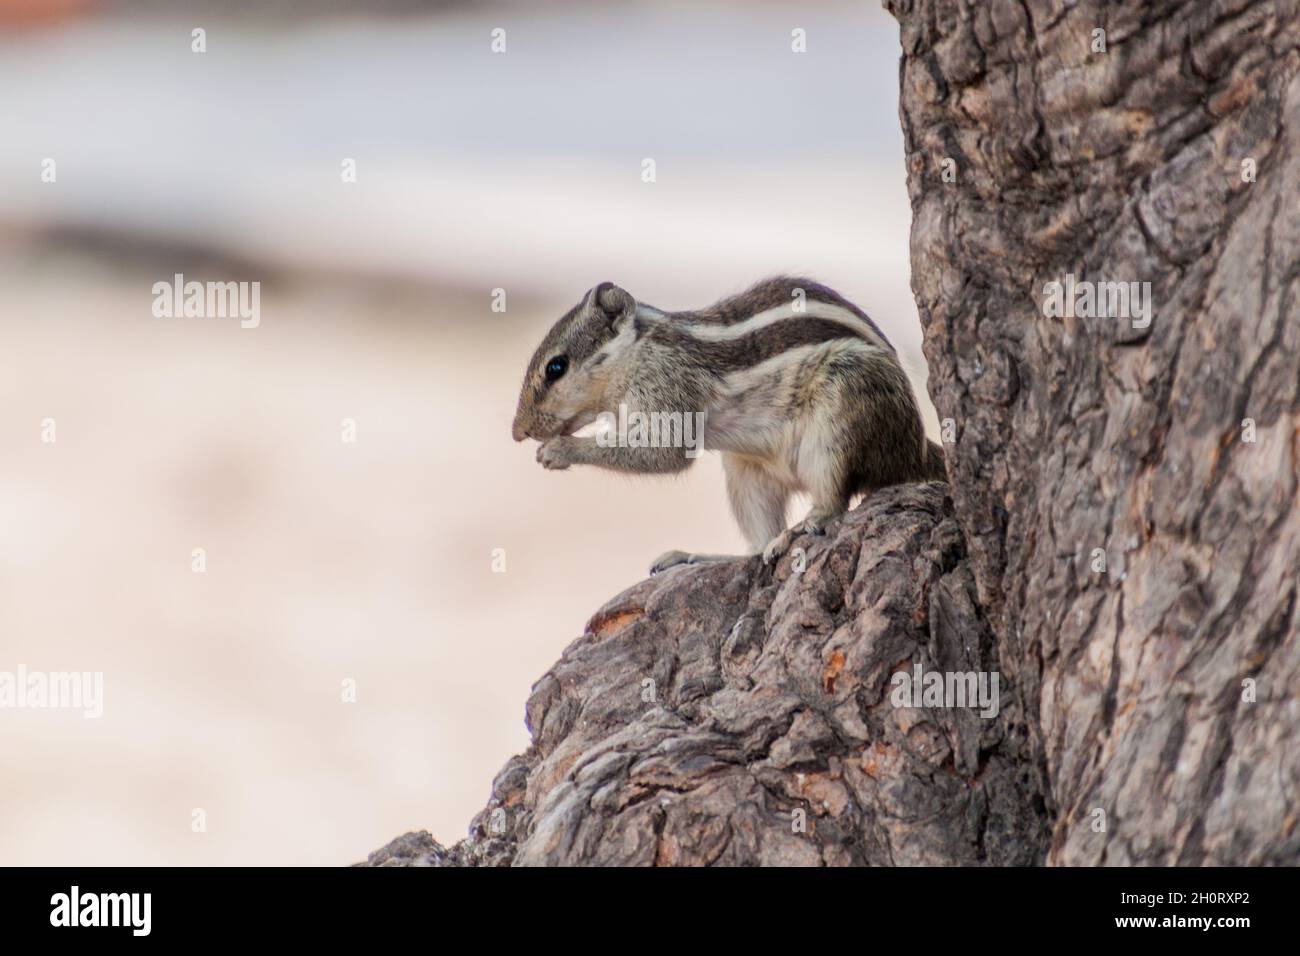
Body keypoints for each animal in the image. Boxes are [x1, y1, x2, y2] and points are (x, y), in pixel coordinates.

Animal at [511, 277, 947, 573]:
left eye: (556, 367)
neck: (638, 350)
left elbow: (664, 453)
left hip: (840, 415)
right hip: (746, 475)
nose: (518, 432)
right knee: (756, 546)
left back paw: (802, 528)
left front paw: (561, 450)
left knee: (833, 502)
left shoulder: (668, 391)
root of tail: (915, 447)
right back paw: (699, 556)